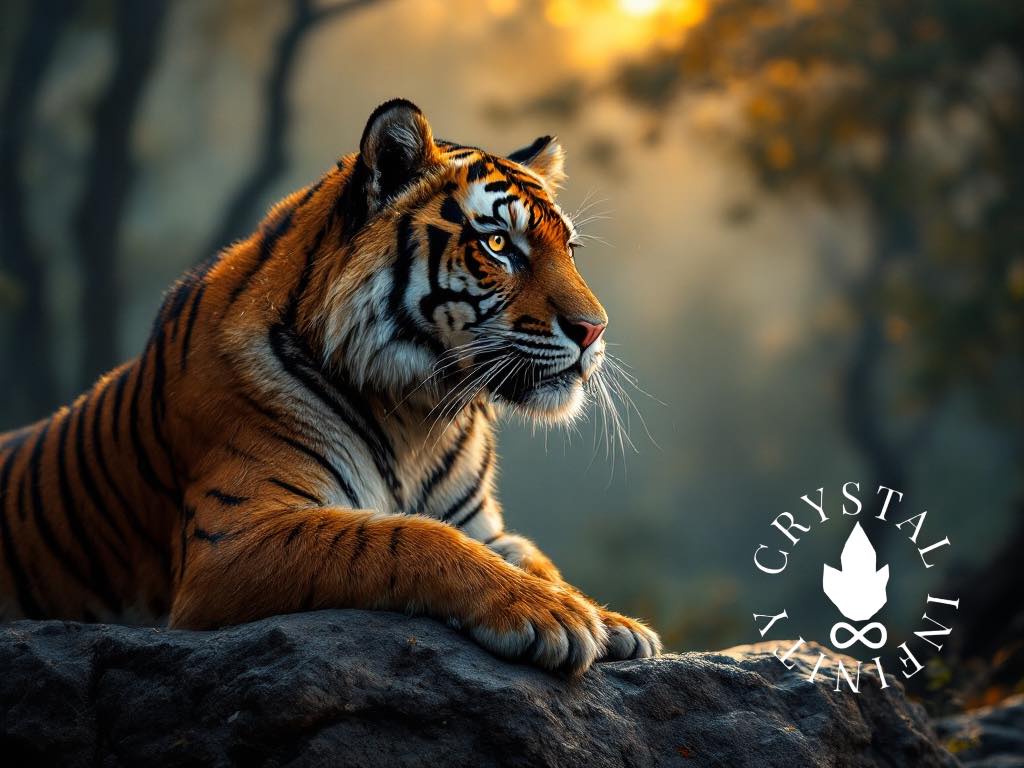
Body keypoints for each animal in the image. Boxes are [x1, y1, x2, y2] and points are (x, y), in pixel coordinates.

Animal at [0, 99, 661, 674]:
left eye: (569, 249)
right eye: (498, 244)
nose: (594, 329)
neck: (420, 414)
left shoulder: (485, 527)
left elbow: (534, 557)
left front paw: (611, 621)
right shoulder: (229, 541)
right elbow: (408, 537)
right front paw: (552, 615)